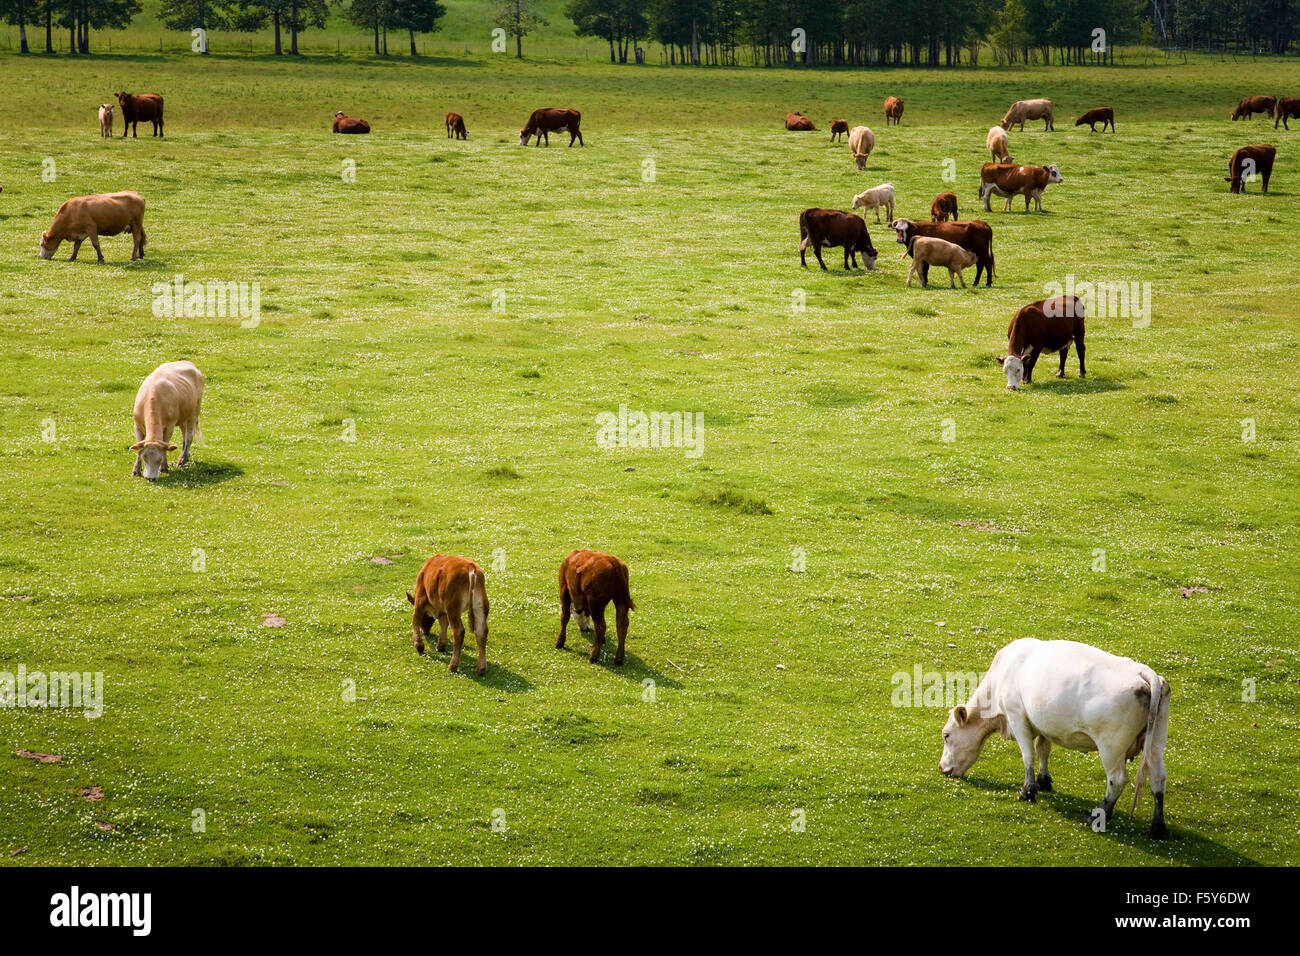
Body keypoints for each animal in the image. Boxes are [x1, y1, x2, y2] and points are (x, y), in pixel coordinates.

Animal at [939, 638, 1170, 839]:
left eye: (946, 735)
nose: (942, 768)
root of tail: (1144, 673)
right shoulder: (1043, 723)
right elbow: (1043, 750)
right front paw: (1043, 781)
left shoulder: (1017, 717)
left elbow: (1028, 755)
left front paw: (1027, 791)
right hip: (1157, 743)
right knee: (1158, 778)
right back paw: (1157, 828)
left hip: (1111, 747)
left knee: (1117, 779)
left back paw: (1099, 813)